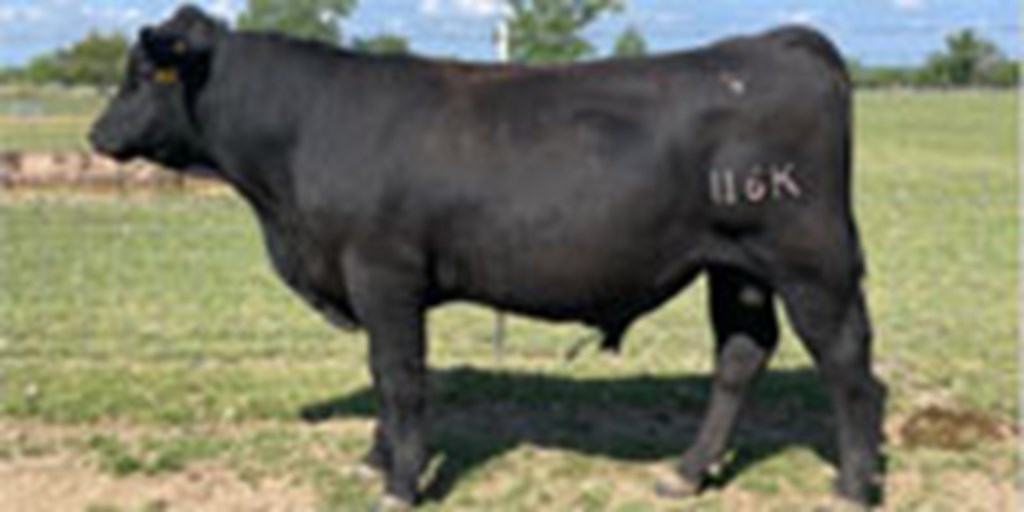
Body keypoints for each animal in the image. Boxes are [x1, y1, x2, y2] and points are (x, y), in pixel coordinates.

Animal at [90, 5, 885, 509]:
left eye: (144, 75)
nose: (98, 135)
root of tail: (775, 42)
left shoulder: (383, 273)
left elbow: (399, 376)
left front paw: (401, 483)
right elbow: (381, 374)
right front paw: (376, 459)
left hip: (810, 258)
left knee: (846, 361)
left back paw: (854, 486)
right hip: (738, 266)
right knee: (741, 355)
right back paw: (686, 474)